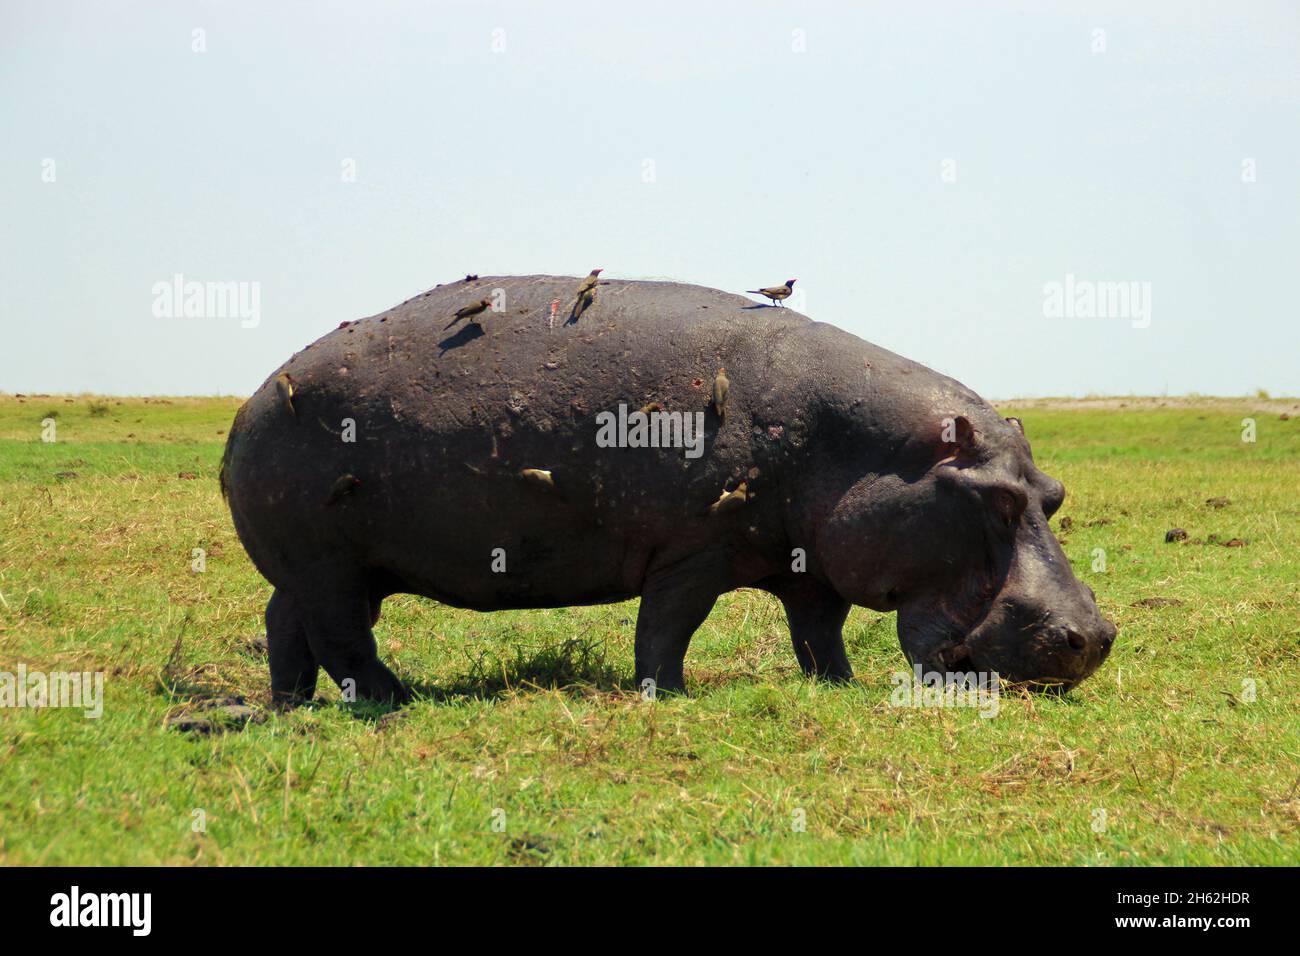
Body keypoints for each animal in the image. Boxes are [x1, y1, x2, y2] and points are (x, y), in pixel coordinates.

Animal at [221, 275, 1116, 704]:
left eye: (1053, 493)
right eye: (995, 501)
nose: (1095, 636)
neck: (873, 449)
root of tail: (252, 399)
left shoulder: (810, 565)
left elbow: (818, 632)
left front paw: (837, 686)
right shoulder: (695, 552)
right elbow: (667, 627)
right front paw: (670, 695)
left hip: (329, 570)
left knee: (286, 624)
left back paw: (293, 702)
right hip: (331, 568)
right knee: (342, 638)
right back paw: (393, 699)